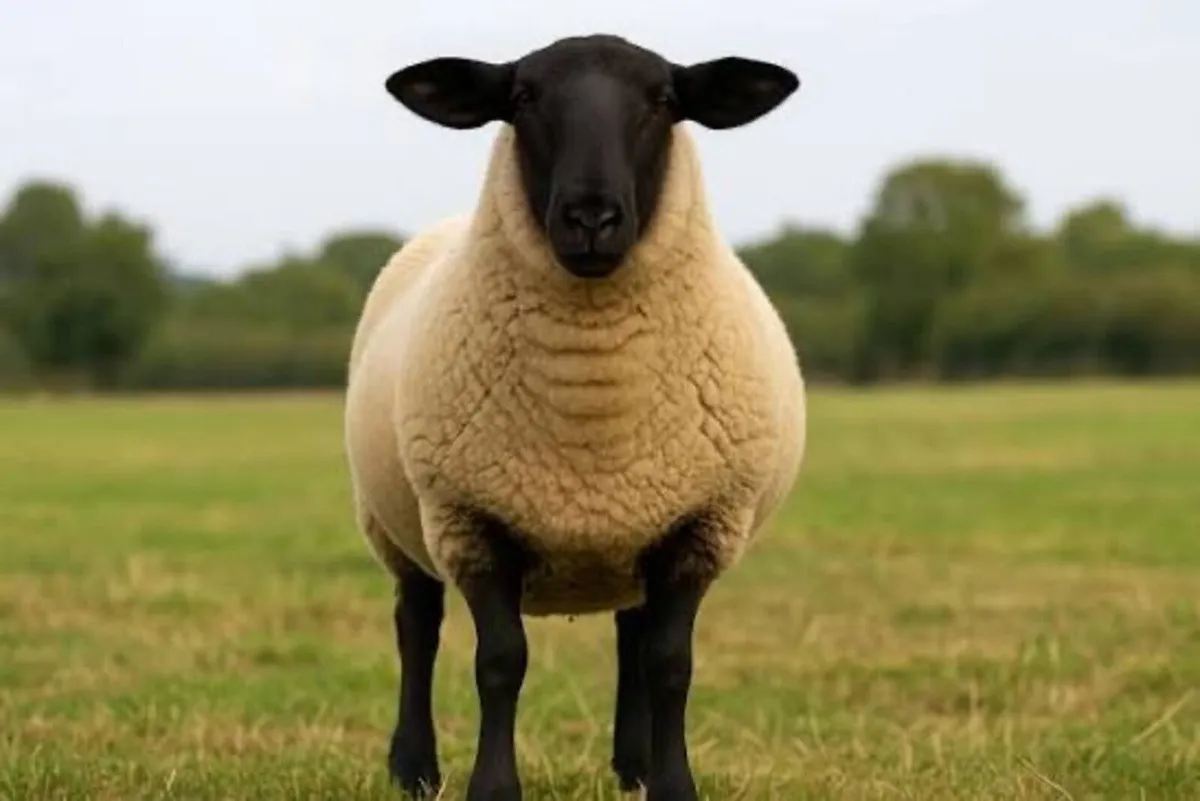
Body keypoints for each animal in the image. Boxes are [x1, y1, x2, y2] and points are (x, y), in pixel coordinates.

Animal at [344, 33, 806, 801]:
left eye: (663, 99)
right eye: (523, 96)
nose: (591, 217)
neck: (592, 405)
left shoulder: (700, 525)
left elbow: (669, 663)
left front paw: (672, 785)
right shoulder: (471, 521)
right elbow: (500, 661)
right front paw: (492, 789)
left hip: (635, 524)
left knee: (632, 634)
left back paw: (634, 765)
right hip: (395, 518)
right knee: (417, 623)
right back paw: (414, 768)